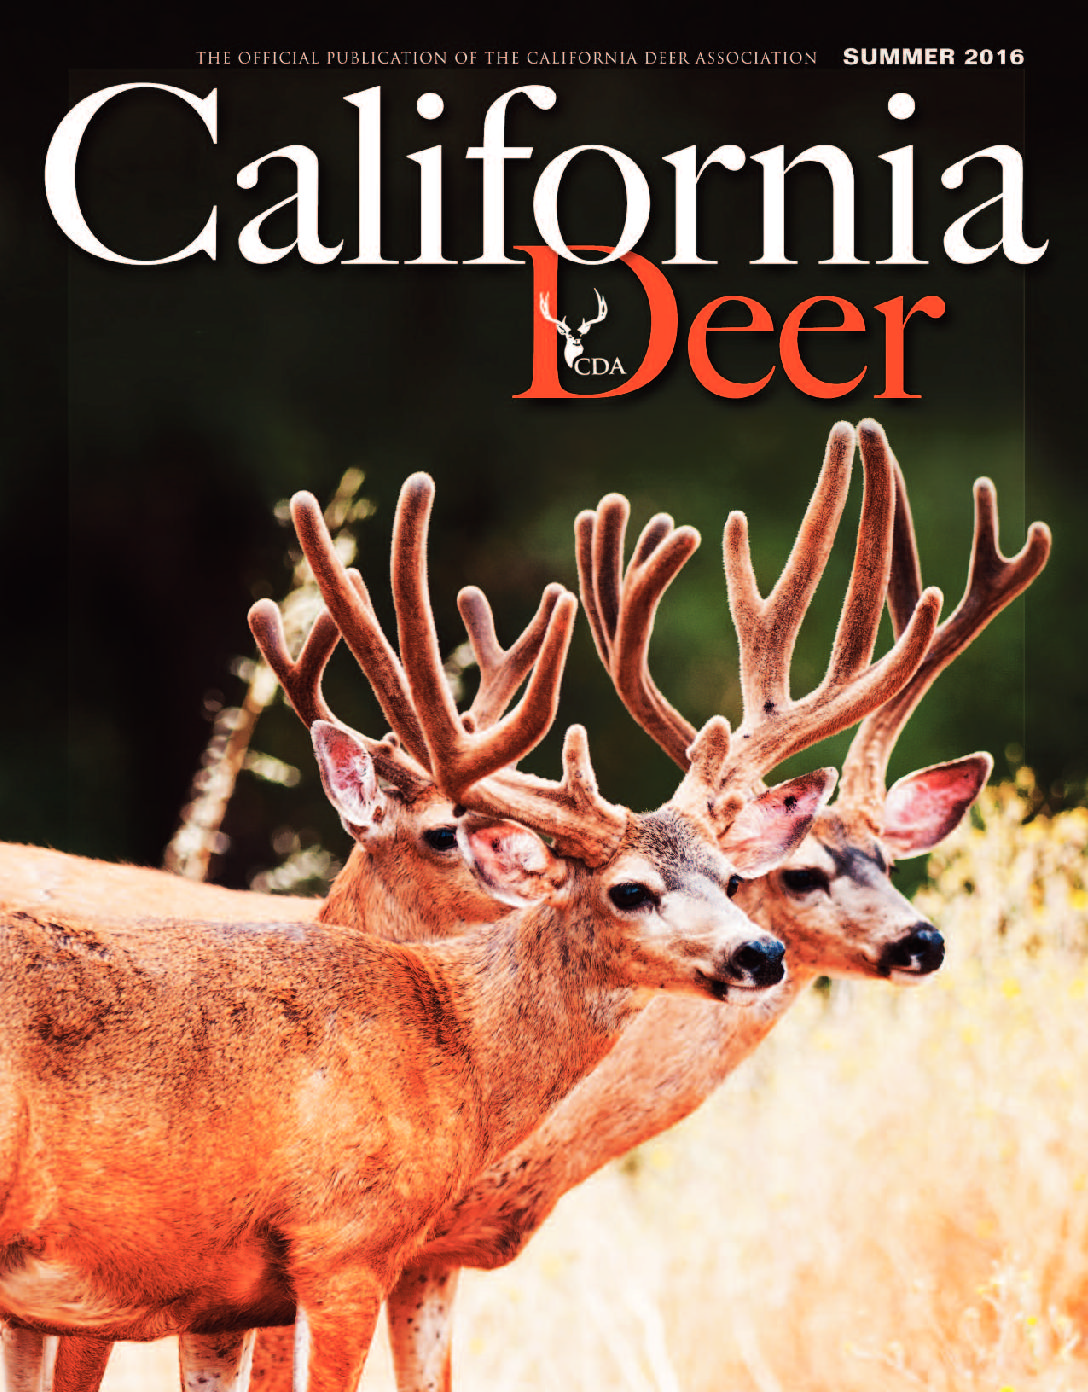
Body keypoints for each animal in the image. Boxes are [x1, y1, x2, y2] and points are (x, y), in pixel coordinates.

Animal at [3, 456, 923, 1392]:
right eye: (628, 891)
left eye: (733, 877)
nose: (758, 951)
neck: (450, 1043)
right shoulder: (342, 1246)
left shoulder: (231, 1298)